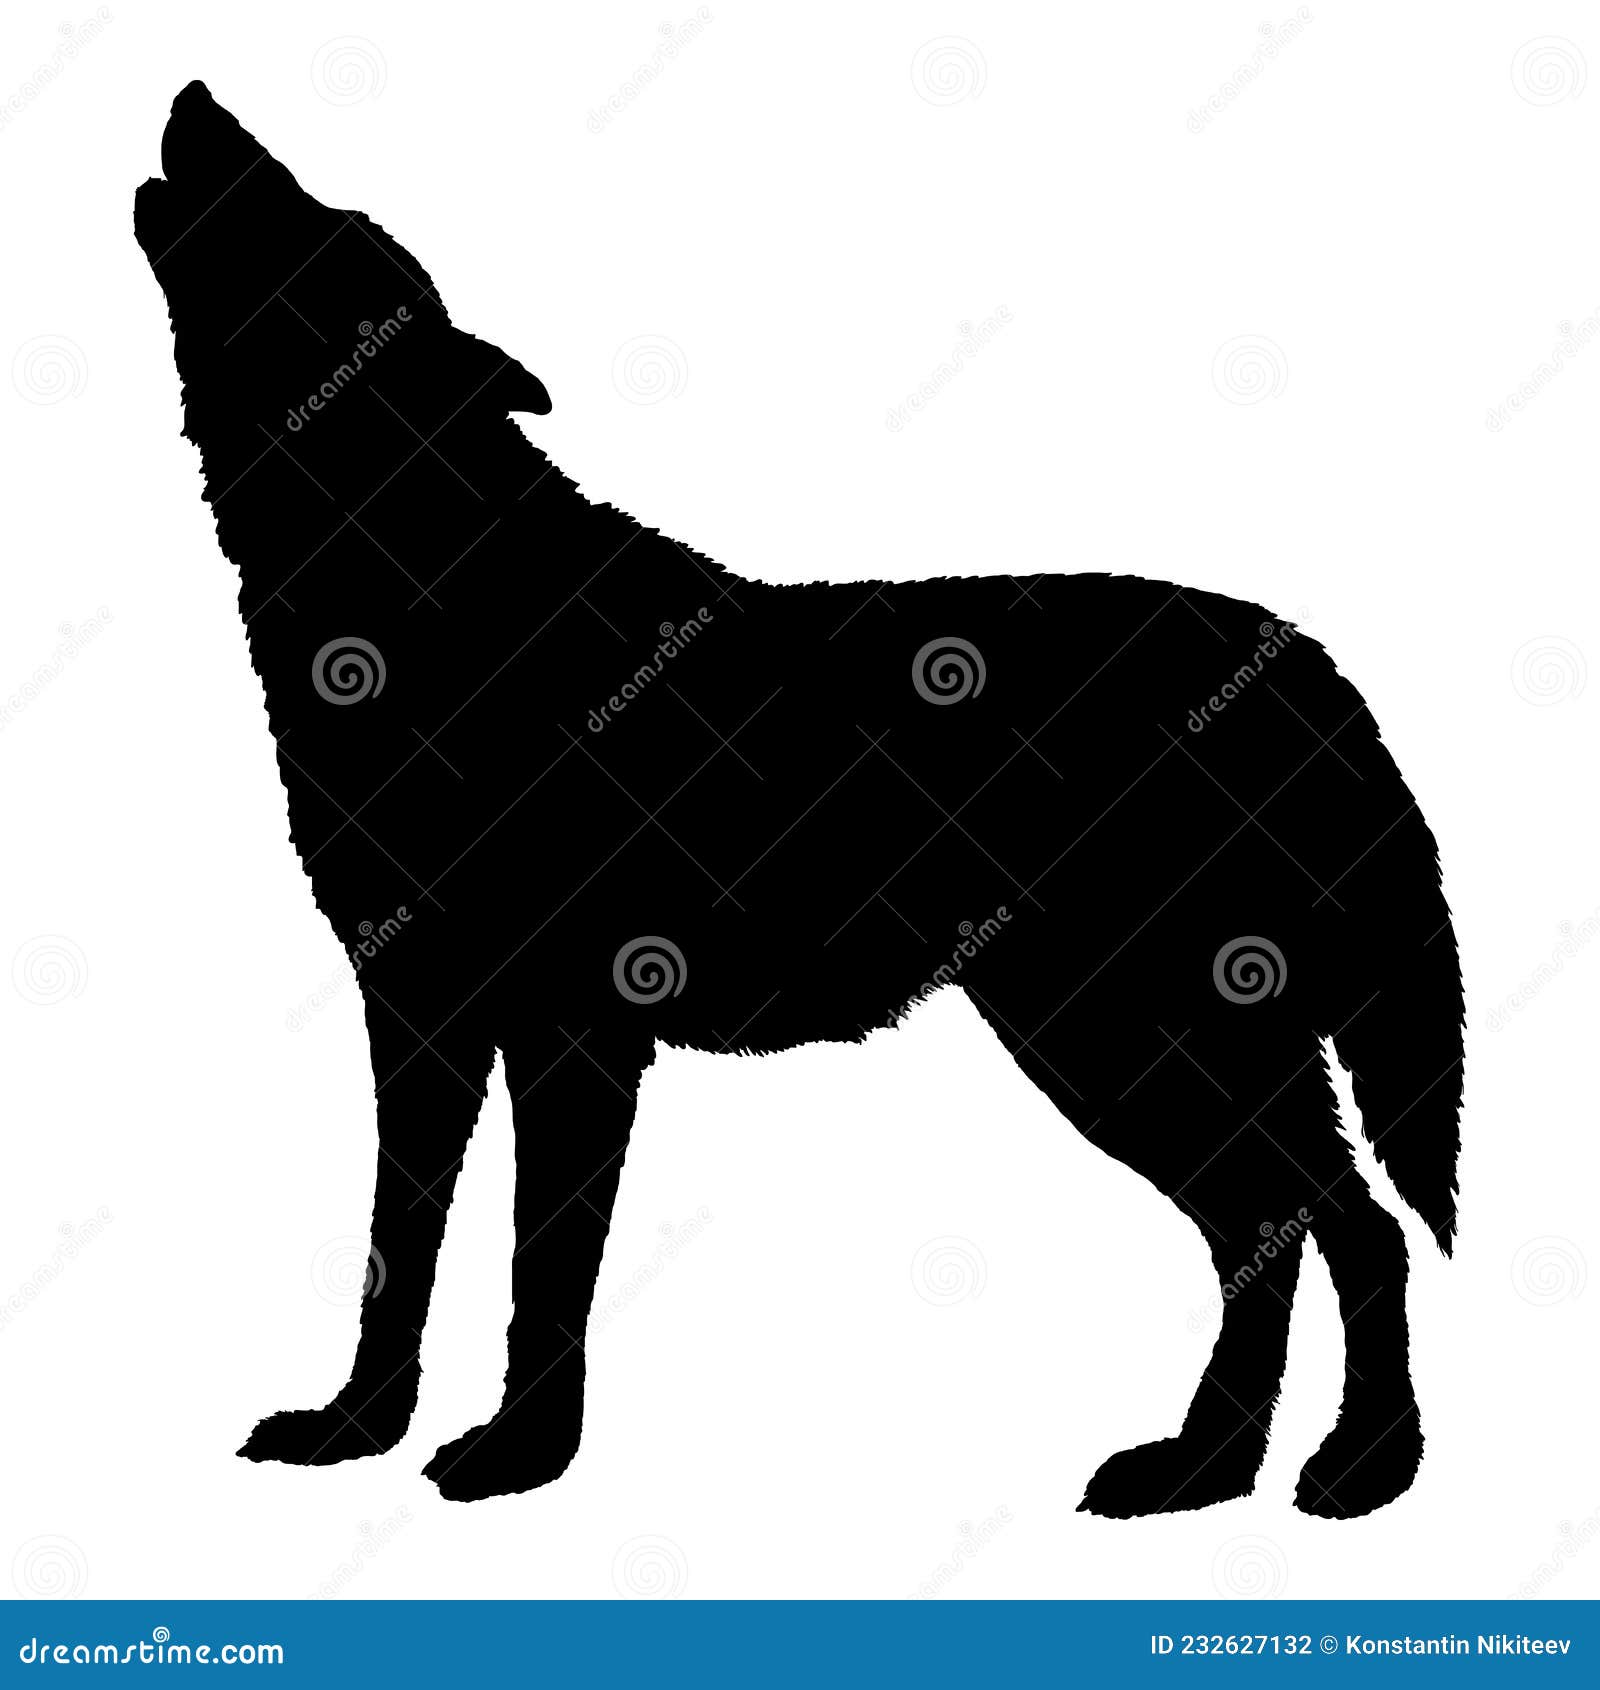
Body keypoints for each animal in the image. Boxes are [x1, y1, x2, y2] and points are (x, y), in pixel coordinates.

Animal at [133, 83, 1462, 1513]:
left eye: (321, 225)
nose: (196, 97)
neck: (434, 595)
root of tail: (1307, 662)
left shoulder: (571, 1031)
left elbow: (543, 1263)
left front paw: (521, 1455)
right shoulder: (419, 1017)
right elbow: (399, 1246)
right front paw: (357, 1428)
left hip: (1141, 1032)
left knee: (1352, 1226)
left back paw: (1360, 1467)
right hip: (1108, 1041)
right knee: (1267, 1230)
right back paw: (1202, 1467)